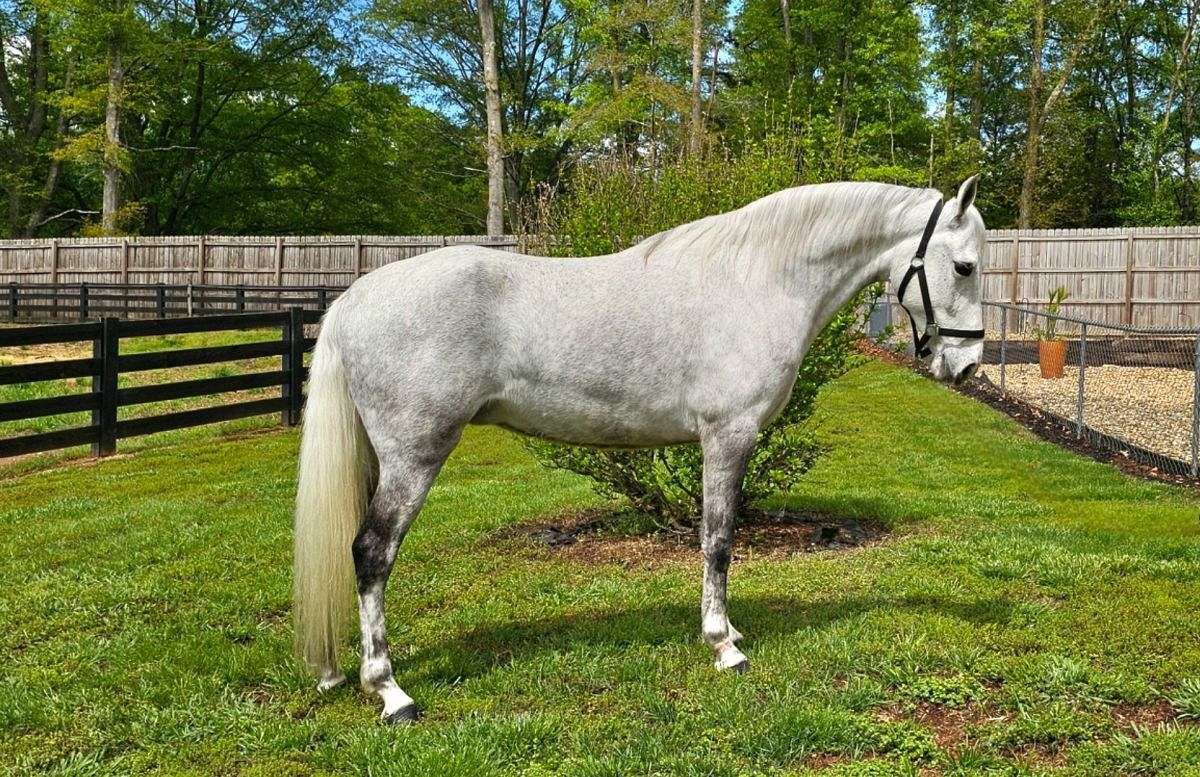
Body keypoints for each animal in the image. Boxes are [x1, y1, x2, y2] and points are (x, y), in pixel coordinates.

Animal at [293, 176, 986, 723]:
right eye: (965, 266)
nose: (968, 365)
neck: (758, 281)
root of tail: (352, 299)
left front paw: (727, 629)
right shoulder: (728, 436)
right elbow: (718, 539)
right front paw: (724, 646)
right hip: (415, 456)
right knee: (371, 553)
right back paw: (390, 693)